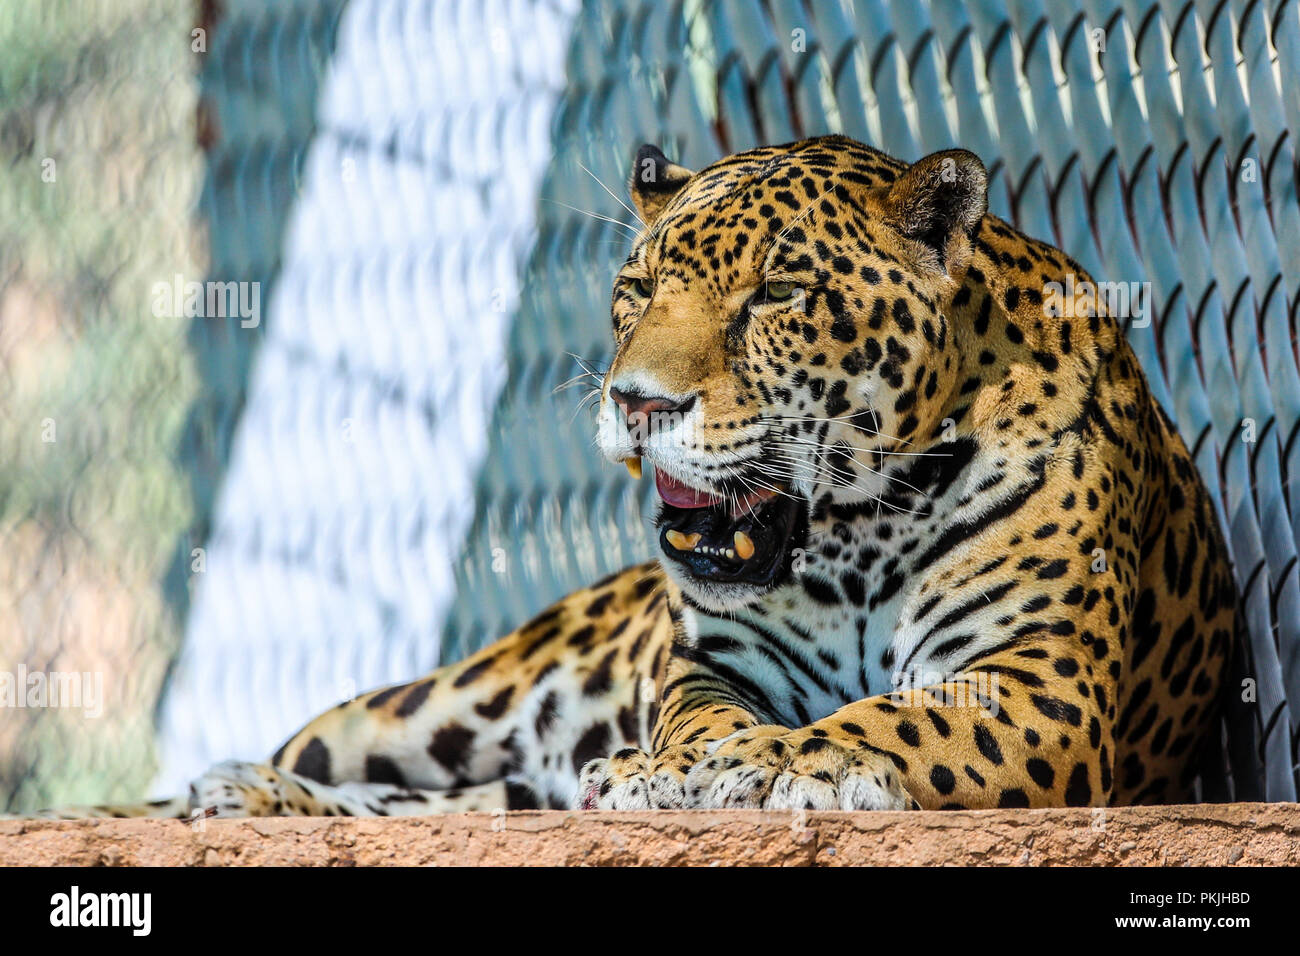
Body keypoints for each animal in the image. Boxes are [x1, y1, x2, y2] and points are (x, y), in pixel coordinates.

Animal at [27, 134, 1239, 819]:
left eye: (778, 295)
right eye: (640, 286)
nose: (639, 403)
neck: (854, 536)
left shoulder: (1033, 679)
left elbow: (895, 720)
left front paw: (787, 763)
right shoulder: (709, 666)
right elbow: (700, 723)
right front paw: (682, 770)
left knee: (466, 809)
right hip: (435, 702)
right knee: (335, 767)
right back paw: (240, 789)